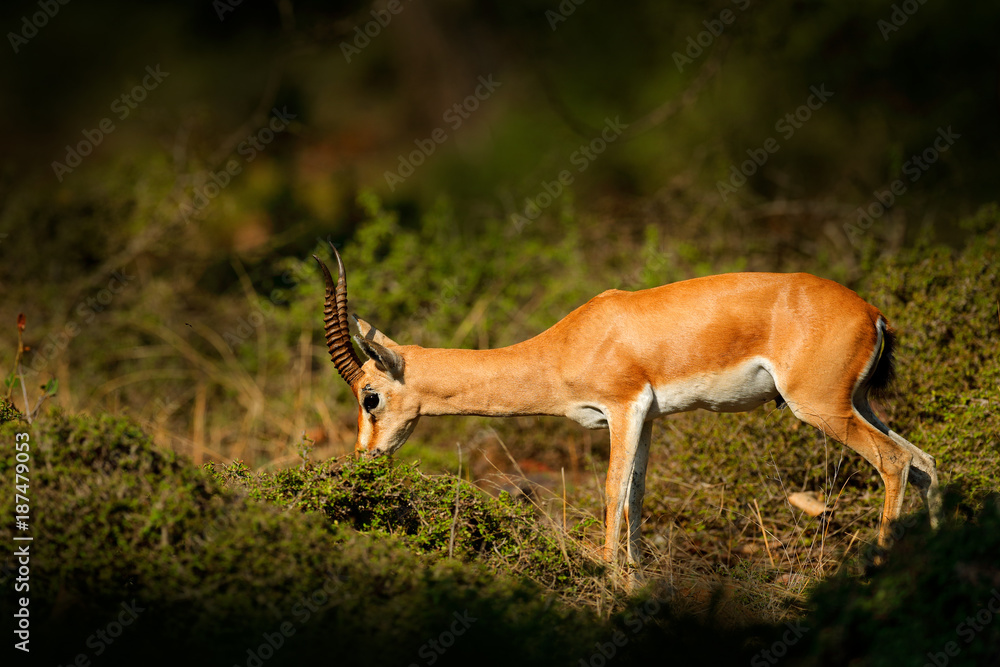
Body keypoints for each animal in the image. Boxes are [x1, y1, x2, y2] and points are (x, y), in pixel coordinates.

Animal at [314, 244, 941, 565]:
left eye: (370, 397)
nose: (364, 459)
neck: (566, 345)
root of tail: (871, 313)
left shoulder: (623, 408)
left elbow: (613, 491)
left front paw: (614, 578)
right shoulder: (651, 419)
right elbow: (637, 496)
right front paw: (638, 579)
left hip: (820, 408)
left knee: (893, 461)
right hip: (858, 403)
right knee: (923, 461)